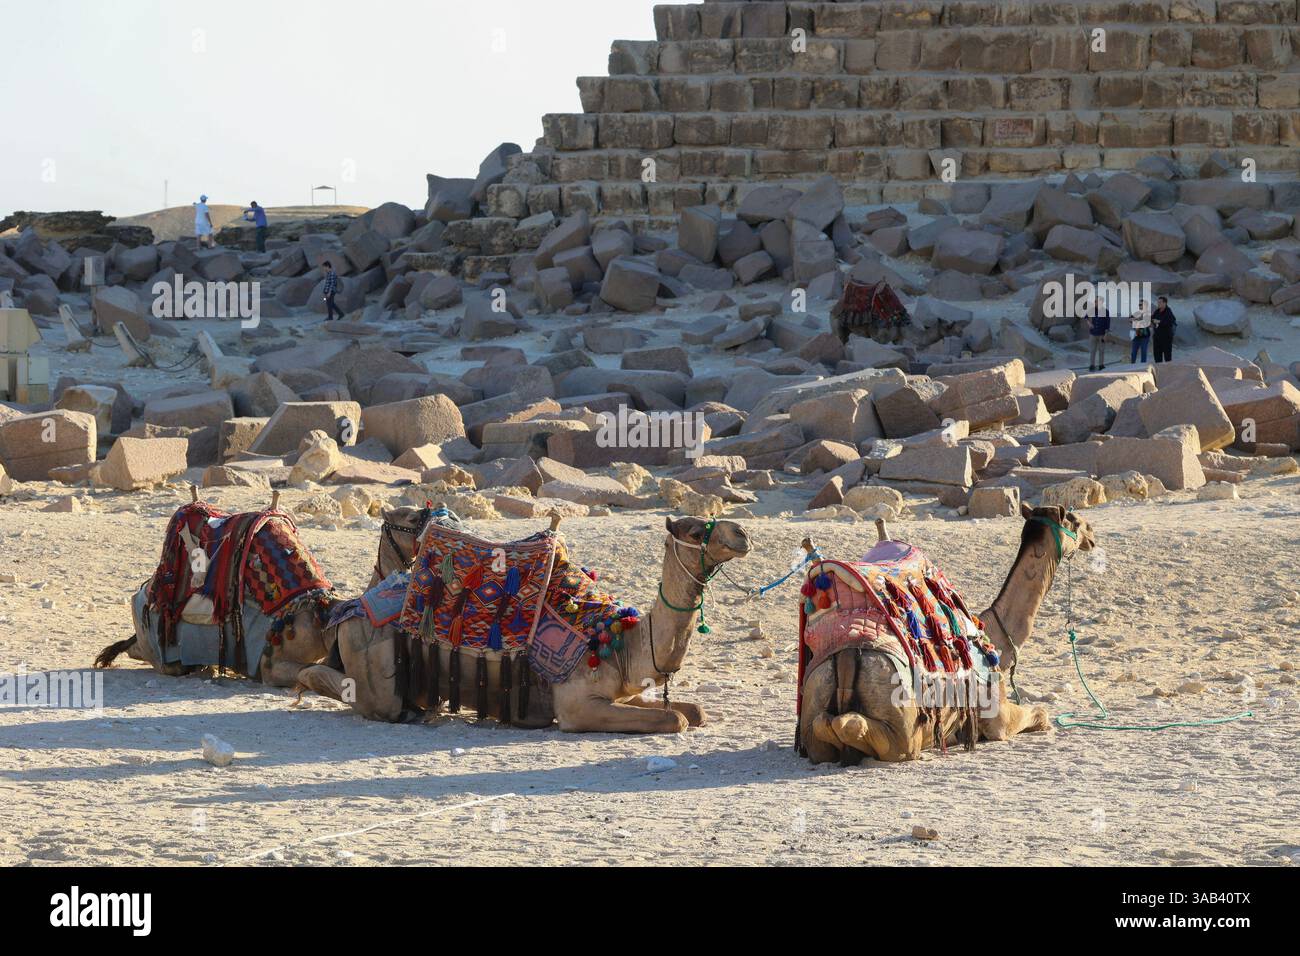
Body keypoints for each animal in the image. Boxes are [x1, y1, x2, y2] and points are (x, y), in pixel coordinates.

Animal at [93, 505, 430, 688]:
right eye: (410, 519)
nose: (432, 512)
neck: (322, 617)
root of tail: (144, 591)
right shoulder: (271, 666)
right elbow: (304, 673)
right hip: (161, 644)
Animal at [294, 515, 752, 733]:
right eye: (695, 528)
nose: (742, 533)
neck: (620, 639)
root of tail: (352, 607)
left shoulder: (622, 690)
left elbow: (692, 711)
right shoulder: (576, 704)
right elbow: (675, 720)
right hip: (374, 666)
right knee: (355, 692)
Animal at [800, 503, 1096, 764]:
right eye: (1073, 521)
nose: (1091, 535)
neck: (997, 642)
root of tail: (846, 655)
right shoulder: (998, 718)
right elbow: (1042, 714)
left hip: (818, 686)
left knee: (822, 724)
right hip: (899, 716)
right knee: (861, 728)